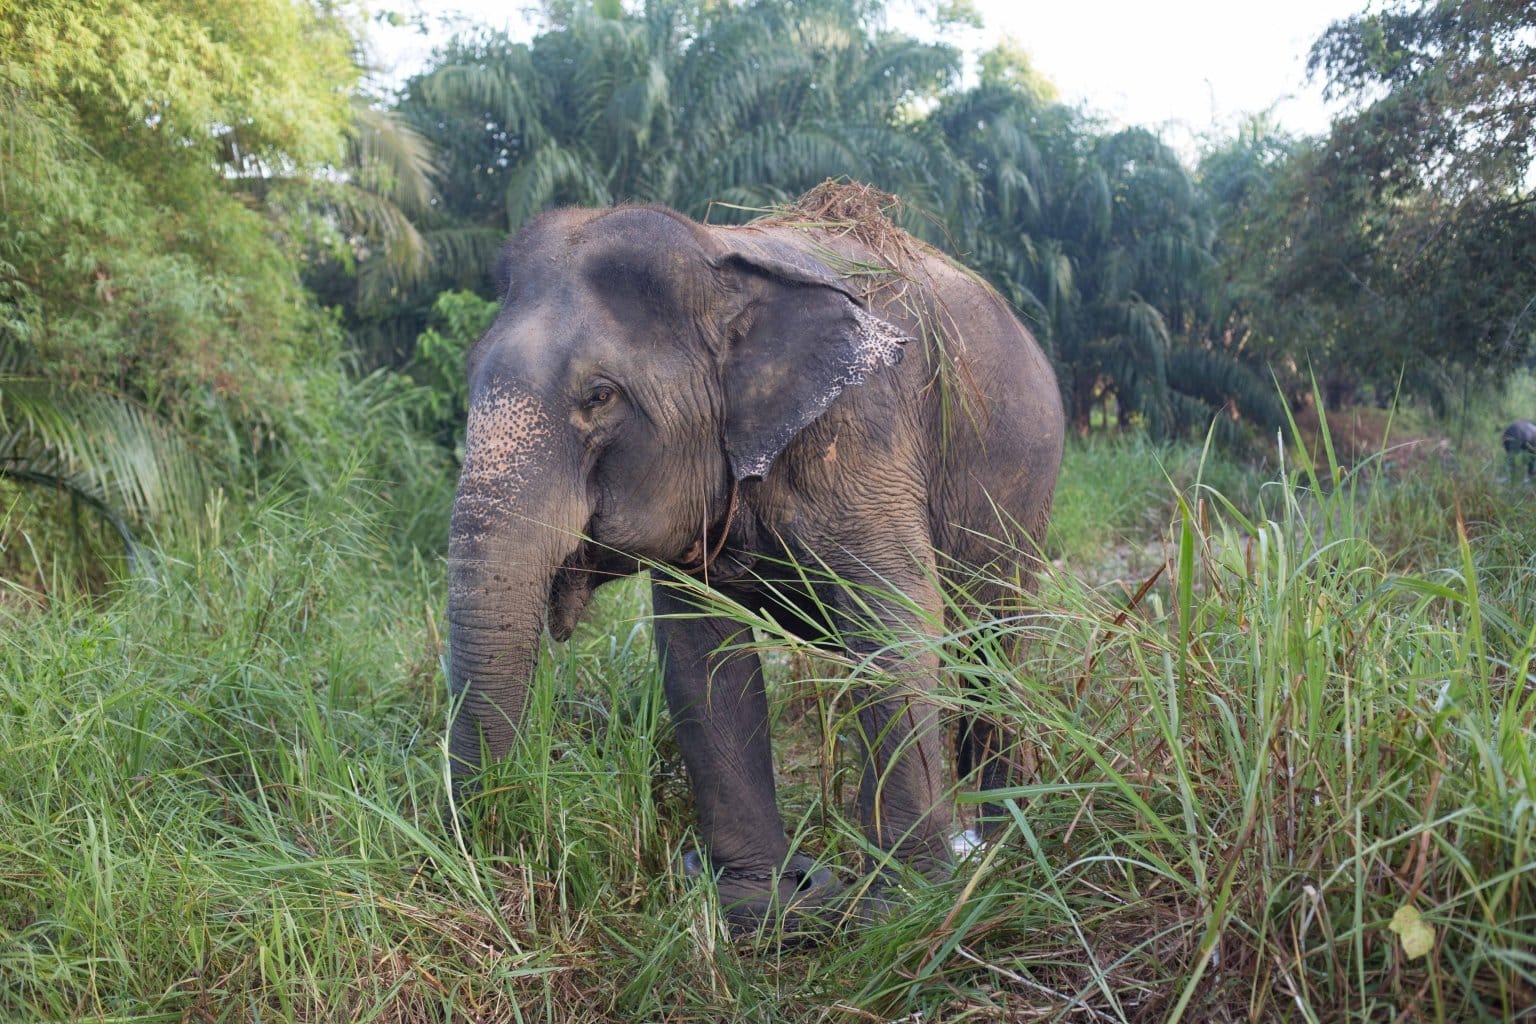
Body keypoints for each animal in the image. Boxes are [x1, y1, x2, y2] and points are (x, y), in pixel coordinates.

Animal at [446, 190, 1065, 934]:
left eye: (600, 396)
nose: (503, 841)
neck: (719, 255)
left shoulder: (863, 433)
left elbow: (896, 625)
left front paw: (905, 907)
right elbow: (700, 658)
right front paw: (760, 902)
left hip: (1024, 498)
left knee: (994, 644)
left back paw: (1002, 845)